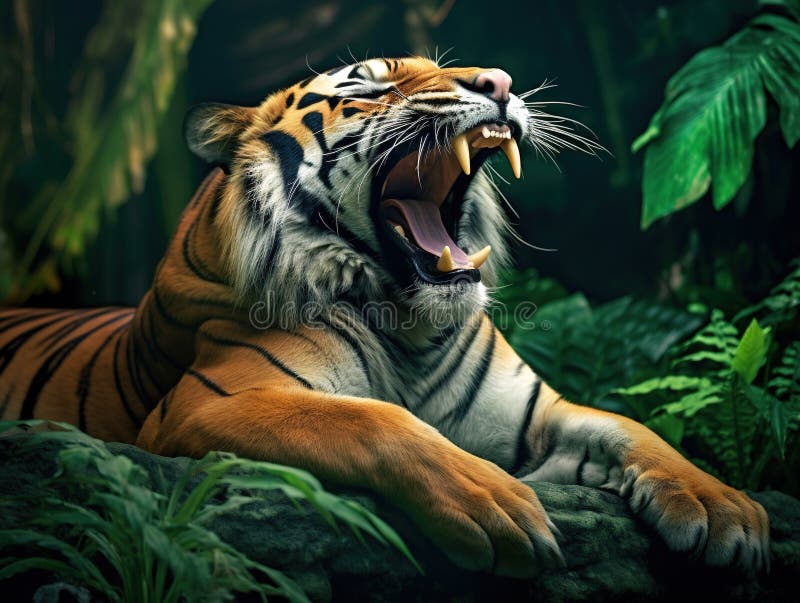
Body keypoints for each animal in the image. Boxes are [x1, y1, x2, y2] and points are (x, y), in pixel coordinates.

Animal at [0, 57, 769, 577]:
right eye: (368, 84)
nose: (498, 83)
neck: (411, 328)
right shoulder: (206, 404)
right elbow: (375, 420)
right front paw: (496, 504)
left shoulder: (535, 417)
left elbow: (631, 427)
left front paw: (725, 508)